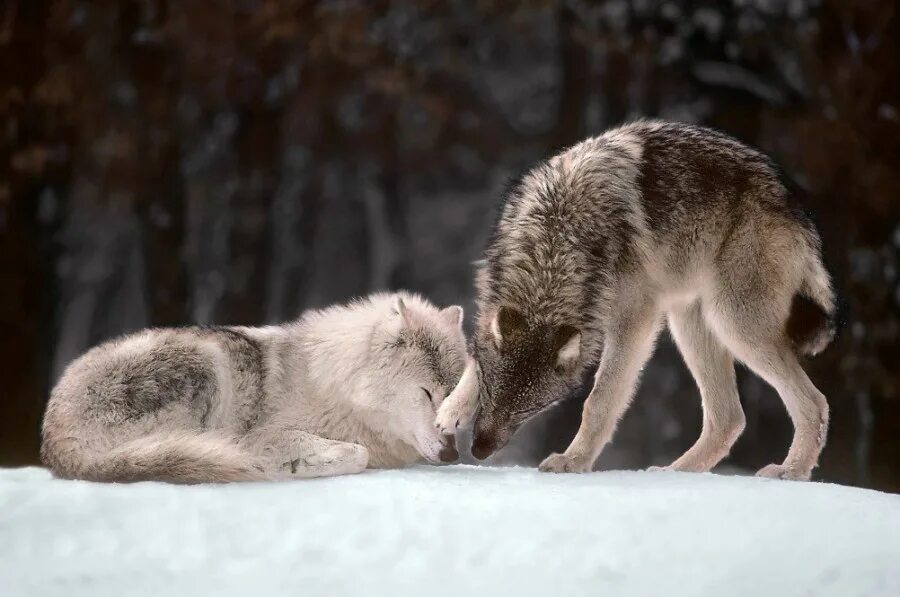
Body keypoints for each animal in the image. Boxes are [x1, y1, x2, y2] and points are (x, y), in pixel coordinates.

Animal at [40, 292, 464, 482]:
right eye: (427, 393)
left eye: (454, 398)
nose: (451, 454)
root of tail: (54, 439)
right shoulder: (268, 433)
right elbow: (356, 453)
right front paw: (291, 466)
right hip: (202, 363)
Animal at [436, 120, 836, 480]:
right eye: (491, 392)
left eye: (529, 409)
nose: (479, 450)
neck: (558, 236)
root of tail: (792, 202)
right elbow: (472, 356)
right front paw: (449, 410)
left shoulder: (635, 322)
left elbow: (599, 401)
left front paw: (573, 462)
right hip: (690, 324)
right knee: (729, 418)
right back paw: (676, 473)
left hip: (734, 323)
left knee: (814, 403)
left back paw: (791, 471)